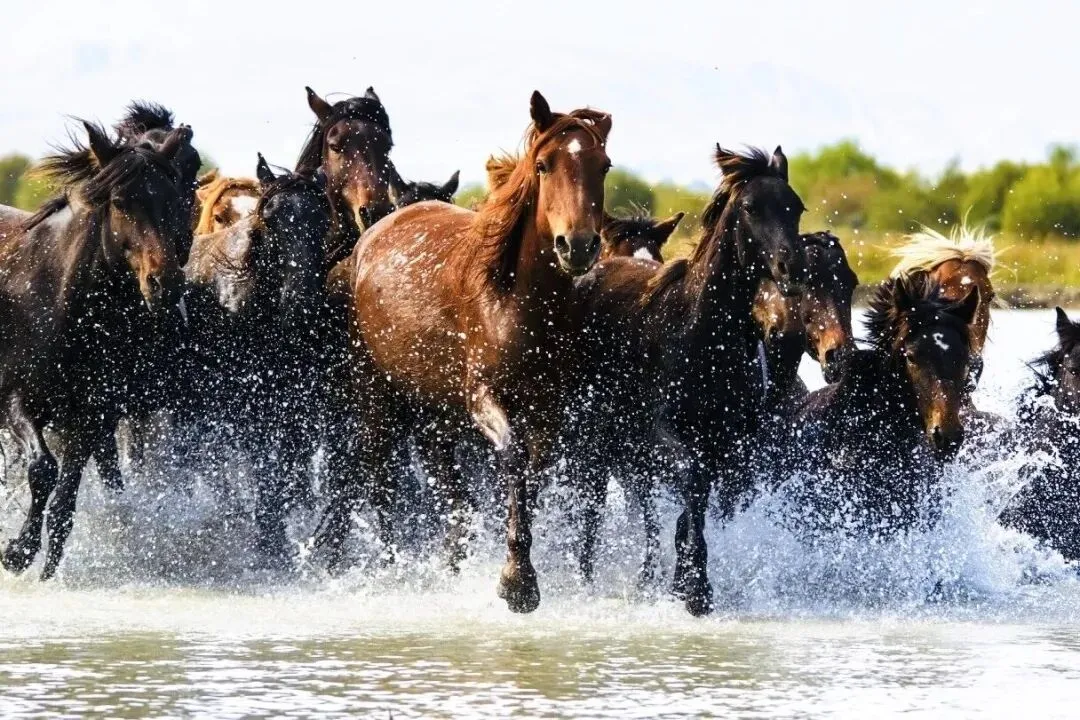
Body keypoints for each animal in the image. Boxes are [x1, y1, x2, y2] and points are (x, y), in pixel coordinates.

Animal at [0, 121, 189, 579]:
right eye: (121, 201)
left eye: (174, 199)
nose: (165, 284)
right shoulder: (13, 399)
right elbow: (42, 470)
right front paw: (17, 552)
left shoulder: (90, 415)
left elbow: (64, 505)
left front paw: (45, 571)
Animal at [182, 154, 332, 563]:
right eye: (272, 218)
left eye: (322, 219)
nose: (301, 301)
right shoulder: (247, 411)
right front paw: (268, 540)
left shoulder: (294, 410)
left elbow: (282, 474)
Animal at [320, 91, 611, 613]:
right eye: (543, 165)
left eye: (604, 165)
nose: (577, 246)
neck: (515, 301)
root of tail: (366, 241)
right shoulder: (483, 399)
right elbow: (513, 460)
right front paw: (518, 582)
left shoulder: (548, 407)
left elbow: (533, 474)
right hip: (376, 399)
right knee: (380, 483)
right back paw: (393, 572)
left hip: (434, 418)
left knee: (454, 501)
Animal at [569, 145, 807, 615]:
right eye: (750, 207)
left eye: (796, 207)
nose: (791, 268)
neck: (702, 335)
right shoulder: (665, 436)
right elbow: (691, 488)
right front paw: (695, 590)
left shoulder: (734, 449)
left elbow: (701, 509)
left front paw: (687, 581)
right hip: (597, 443)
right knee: (593, 512)